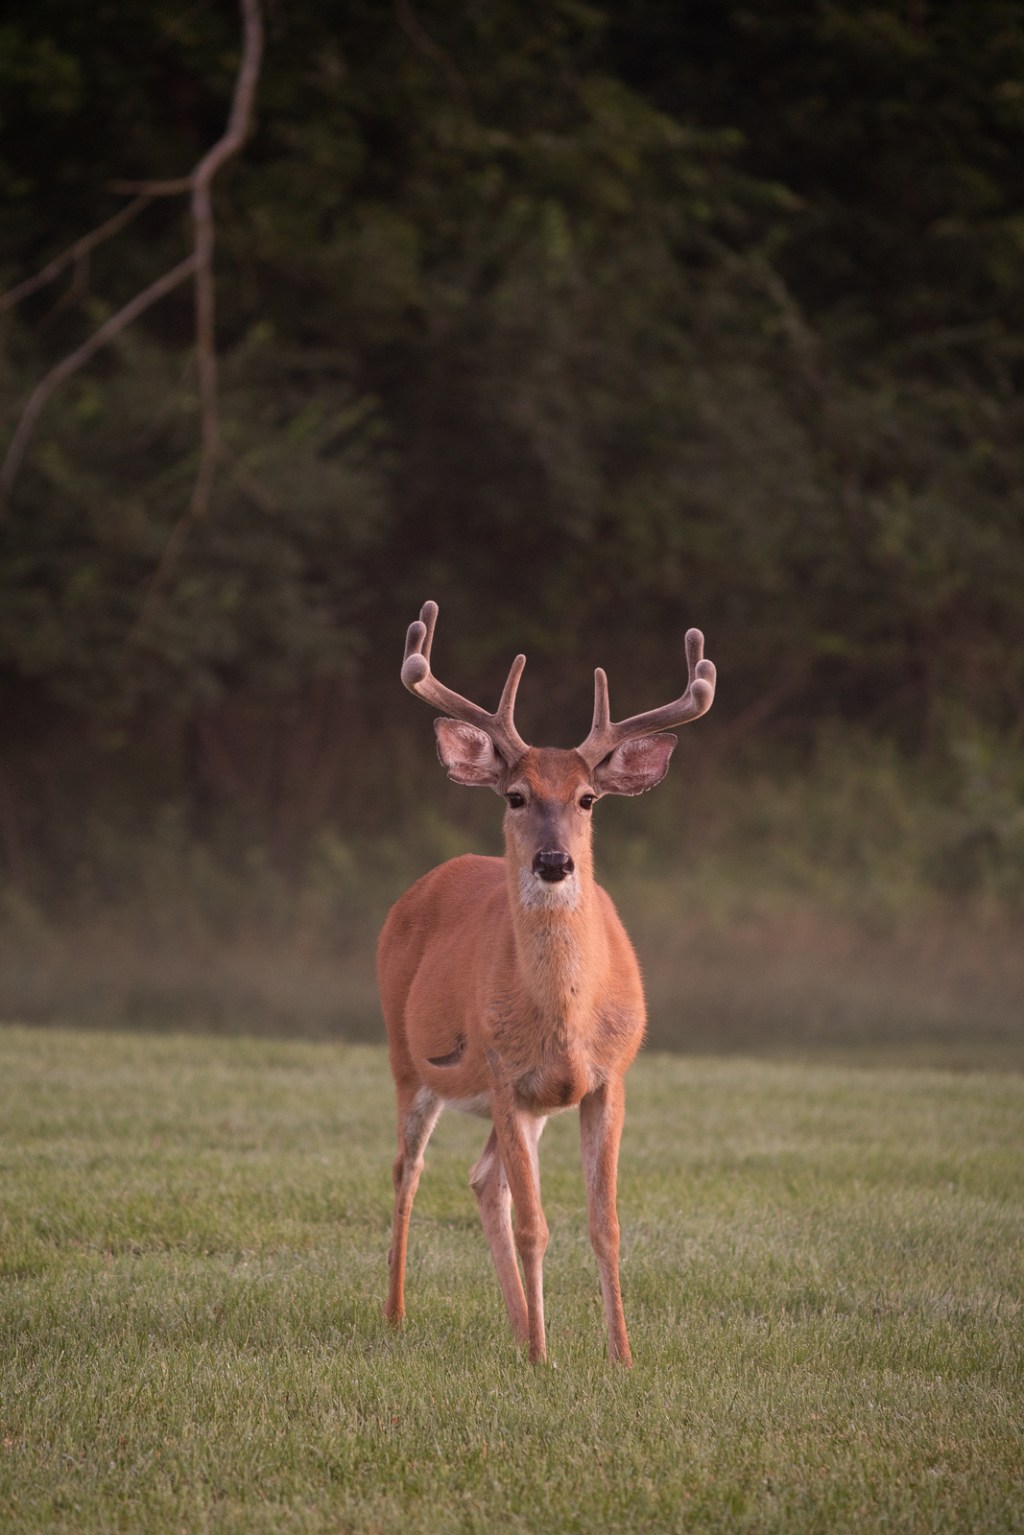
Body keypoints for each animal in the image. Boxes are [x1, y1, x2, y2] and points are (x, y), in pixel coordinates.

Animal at [378, 601, 716, 1365]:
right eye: (515, 795)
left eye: (588, 798)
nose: (555, 861)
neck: (565, 1017)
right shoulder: (504, 1073)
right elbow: (537, 1224)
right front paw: (542, 1358)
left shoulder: (607, 1078)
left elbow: (604, 1224)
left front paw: (620, 1356)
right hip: (410, 1061)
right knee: (409, 1172)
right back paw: (399, 1315)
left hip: (523, 1108)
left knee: (484, 1183)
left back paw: (516, 1321)